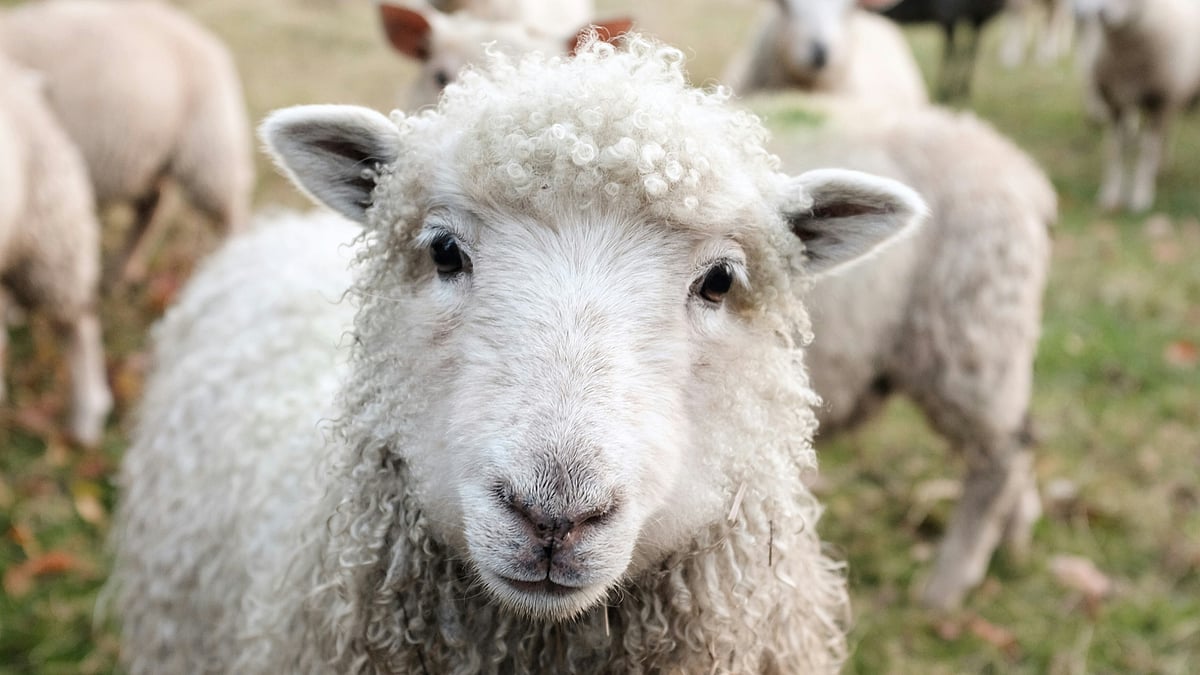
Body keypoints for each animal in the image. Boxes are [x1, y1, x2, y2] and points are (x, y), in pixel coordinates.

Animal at [0, 0, 254, 283]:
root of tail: (203, 37)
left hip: (209, 144)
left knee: (229, 211)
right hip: (149, 157)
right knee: (151, 207)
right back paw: (123, 270)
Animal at [1072, 0, 1200, 212]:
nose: (1100, 14)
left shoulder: (1157, 101)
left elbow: (1147, 150)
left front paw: (1141, 197)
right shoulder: (1115, 103)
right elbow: (1115, 149)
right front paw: (1110, 196)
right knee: (1168, 129)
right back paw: (1161, 167)